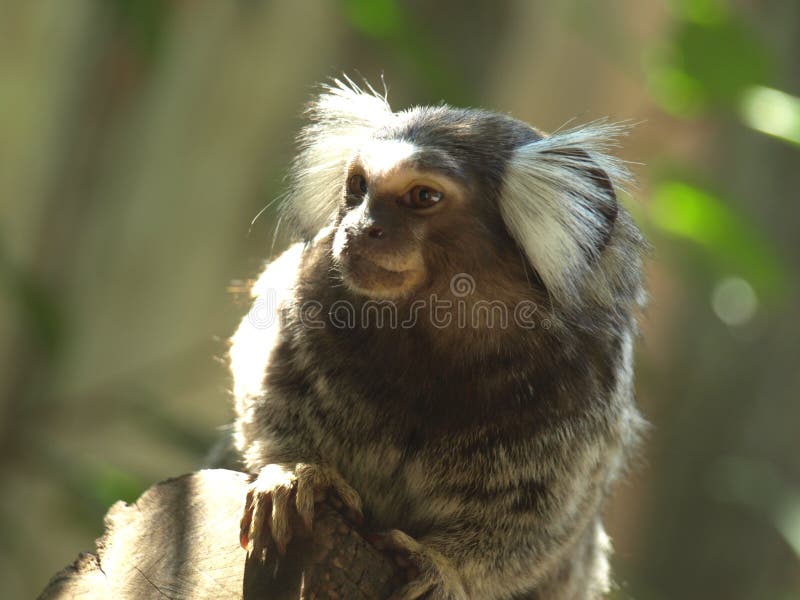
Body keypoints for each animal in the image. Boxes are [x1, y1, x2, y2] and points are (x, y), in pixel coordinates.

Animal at [230, 78, 647, 599]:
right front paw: (295, 472)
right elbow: (263, 384)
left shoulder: (588, 381)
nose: (361, 228)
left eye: (423, 196)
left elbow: (544, 520)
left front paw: (446, 566)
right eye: (359, 187)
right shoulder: (305, 293)